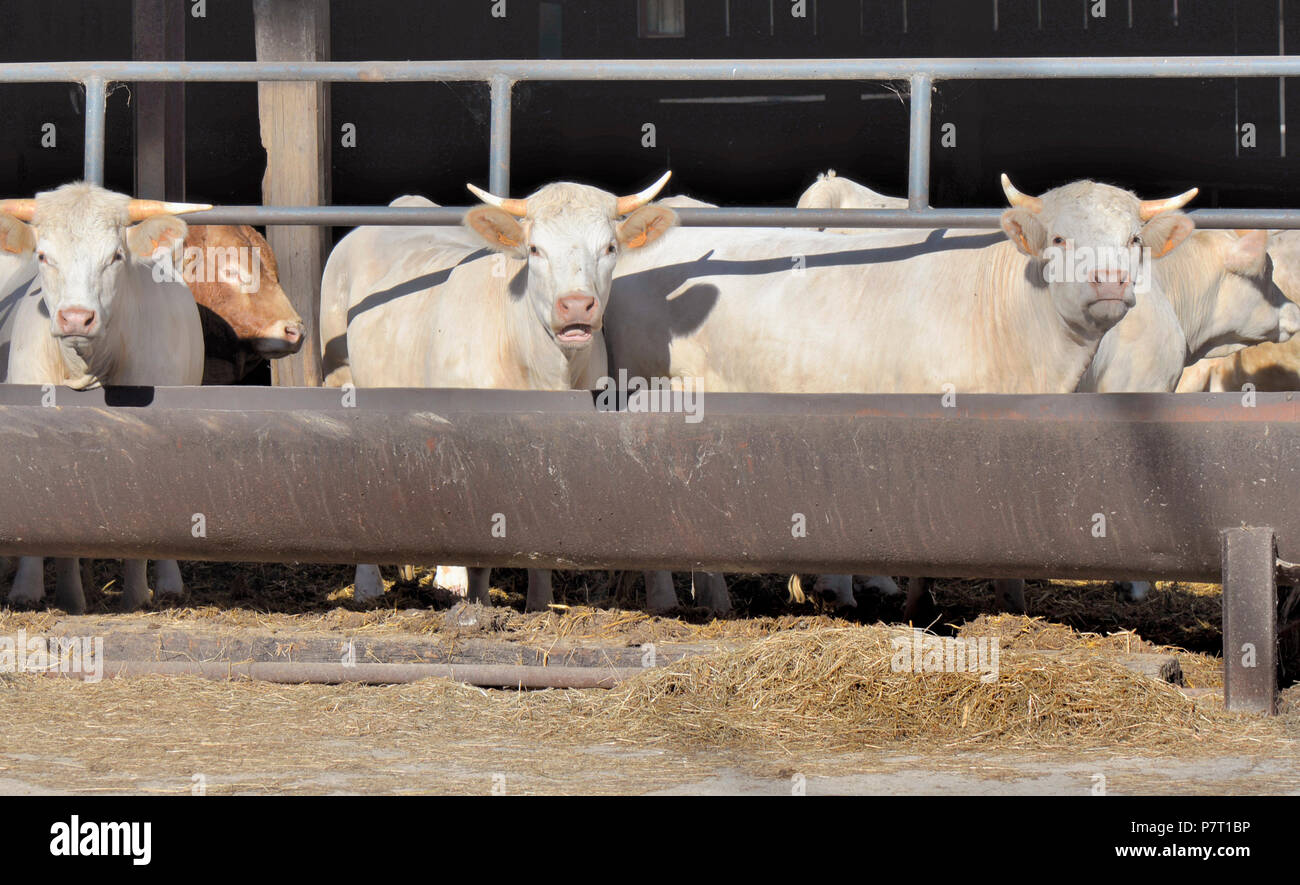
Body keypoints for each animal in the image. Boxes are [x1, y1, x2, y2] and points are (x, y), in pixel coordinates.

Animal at [0, 183, 208, 614]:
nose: (76, 318)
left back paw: (167, 582)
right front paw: (51, 594)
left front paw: (135, 596)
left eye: (115, 256)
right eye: (43, 255)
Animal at [320, 172, 677, 610]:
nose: (576, 305)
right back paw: (373, 586)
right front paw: (477, 604)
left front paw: (538, 604)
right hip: (340, 376)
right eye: (535, 249)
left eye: (609, 247)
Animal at [608, 175, 1199, 615]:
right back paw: (666, 601)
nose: (1110, 280)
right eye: (1059, 239)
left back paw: (714, 599)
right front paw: (919, 605)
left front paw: (1012, 604)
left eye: (1134, 240)